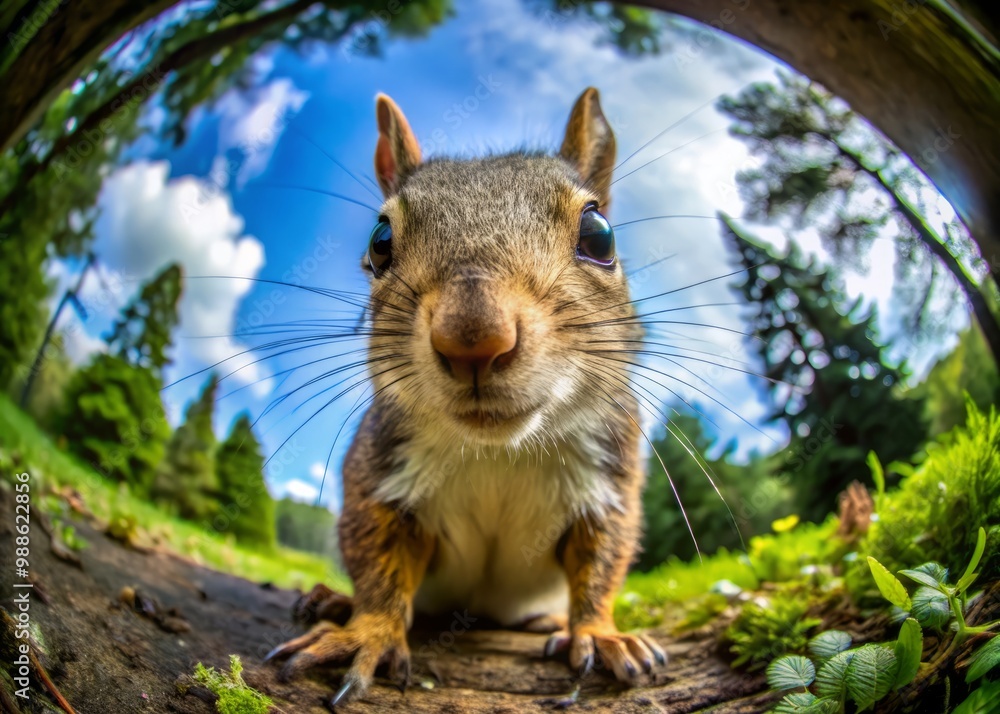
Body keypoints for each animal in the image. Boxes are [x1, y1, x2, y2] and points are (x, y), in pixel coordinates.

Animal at [265, 87, 666, 705]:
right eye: (379, 243)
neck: (498, 451)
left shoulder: (610, 484)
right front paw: (364, 632)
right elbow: (376, 560)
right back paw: (331, 601)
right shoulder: (380, 471)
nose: (473, 336)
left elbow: (602, 562)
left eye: (601, 235)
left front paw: (601, 634)